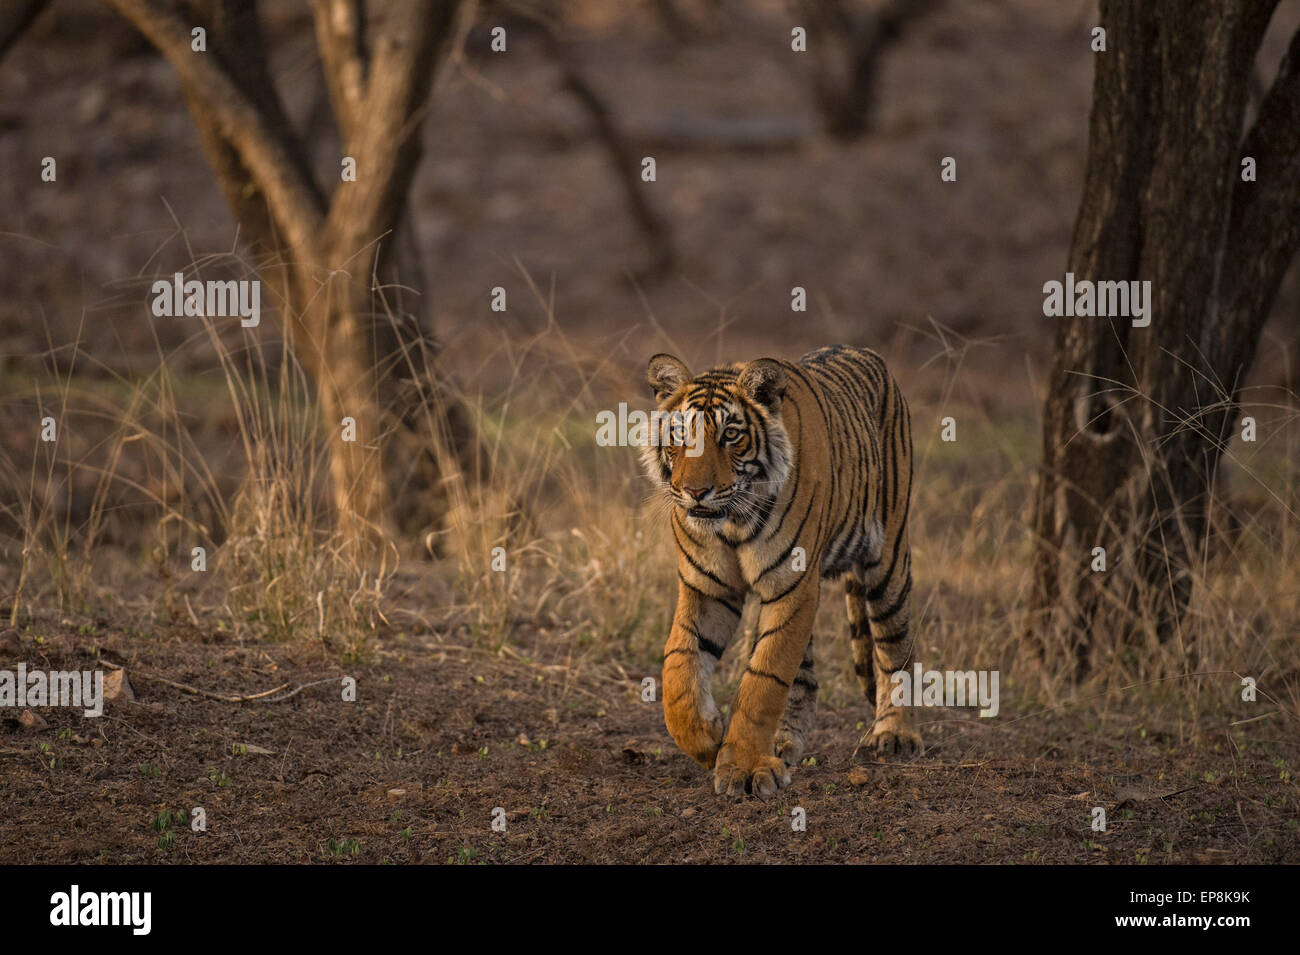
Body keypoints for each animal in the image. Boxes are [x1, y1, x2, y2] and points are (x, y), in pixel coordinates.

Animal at [642, 344, 921, 798]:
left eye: (730, 435)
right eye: (680, 436)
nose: (695, 492)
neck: (732, 522)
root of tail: (864, 351)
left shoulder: (792, 586)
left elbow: (764, 681)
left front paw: (744, 768)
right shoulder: (706, 589)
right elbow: (679, 669)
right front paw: (708, 739)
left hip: (888, 561)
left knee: (894, 648)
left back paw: (894, 734)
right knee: (805, 678)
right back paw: (784, 743)